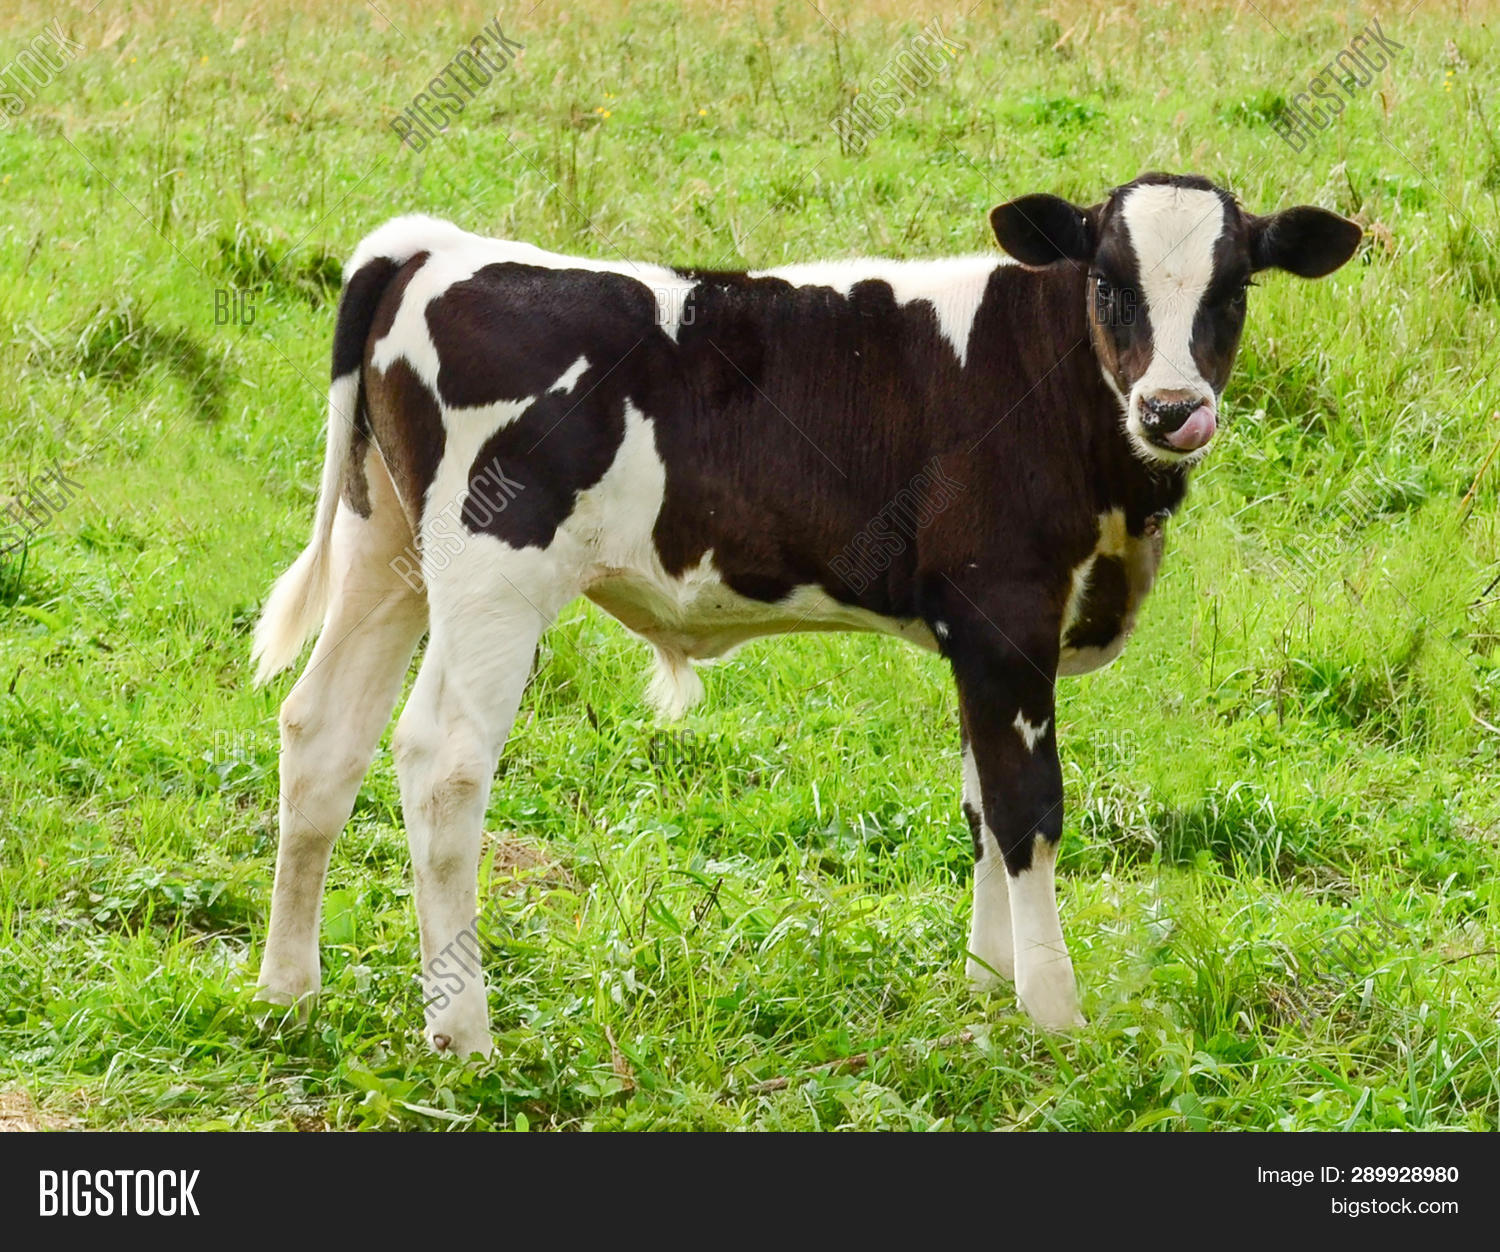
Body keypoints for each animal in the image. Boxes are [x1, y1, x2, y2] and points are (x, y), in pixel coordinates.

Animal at [250, 172, 1361, 1057]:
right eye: (1109, 283)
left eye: (1234, 287)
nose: (1173, 410)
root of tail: (441, 247)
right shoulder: (1006, 616)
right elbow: (1026, 810)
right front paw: (1053, 1011)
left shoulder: (976, 641)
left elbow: (978, 807)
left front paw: (990, 987)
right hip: (492, 576)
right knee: (442, 762)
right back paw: (463, 1033)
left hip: (386, 552)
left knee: (322, 733)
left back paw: (289, 991)